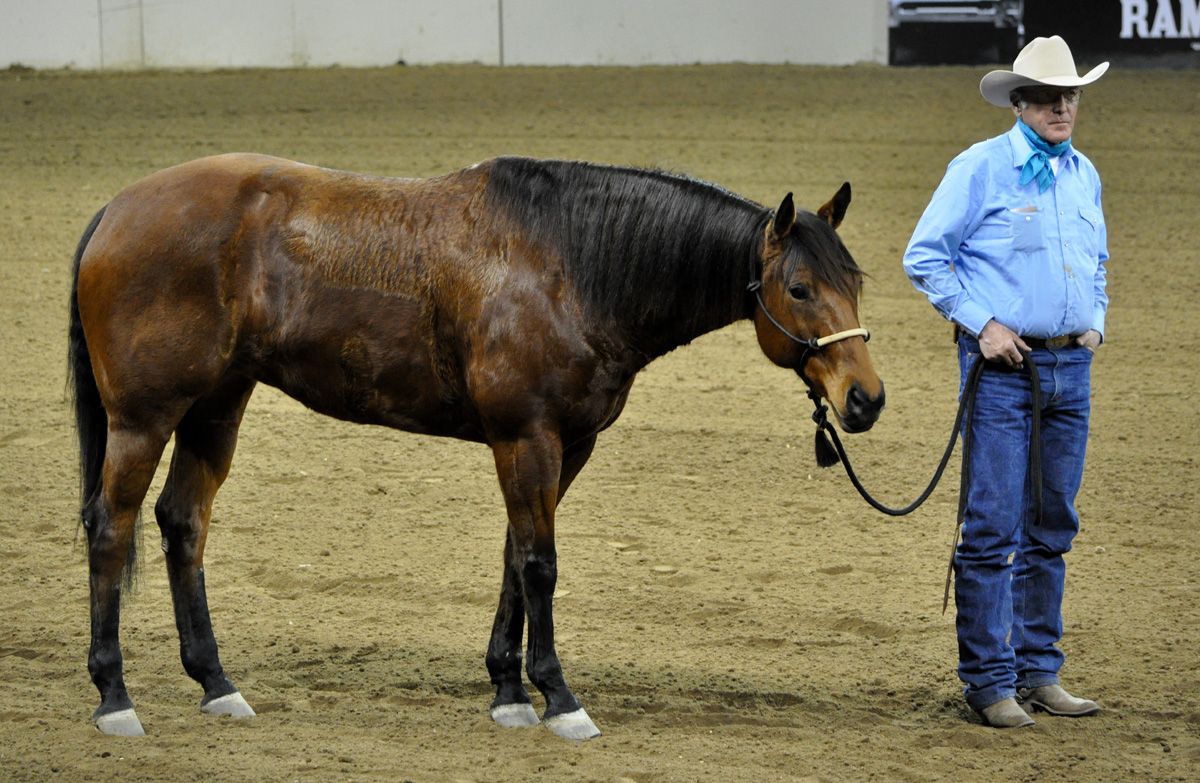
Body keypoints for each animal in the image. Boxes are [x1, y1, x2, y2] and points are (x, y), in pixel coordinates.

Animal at [68, 154, 885, 740]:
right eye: (801, 288)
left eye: (856, 280)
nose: (865, 398)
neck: (573, 265)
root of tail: (116, 208)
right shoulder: (526, 438)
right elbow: (540, 564)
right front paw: (559, 696)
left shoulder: (563, 447)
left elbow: (515, 558)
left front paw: (508, 689)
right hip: (143, 417)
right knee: (112, 527)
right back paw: (114, 695)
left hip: (217, 407)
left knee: (183, 524)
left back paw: (216, 683)